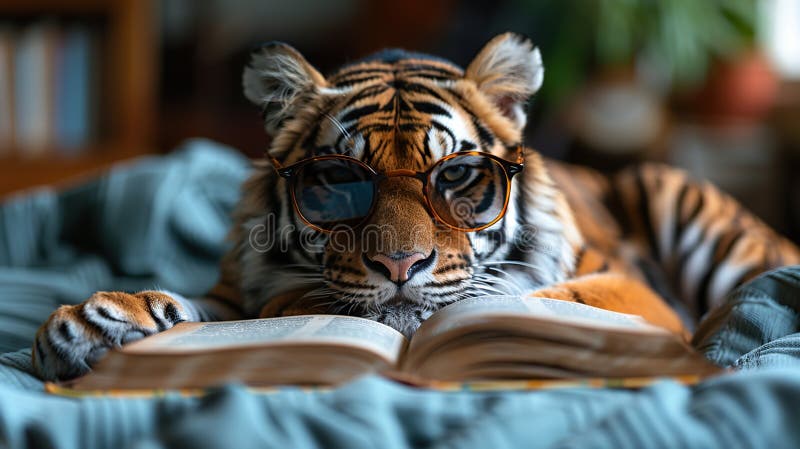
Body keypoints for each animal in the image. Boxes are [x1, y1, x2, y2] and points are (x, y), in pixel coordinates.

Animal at [32, 33, 800, 381]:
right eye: (340, 178)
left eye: (456, 175)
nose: (400, 265)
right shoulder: (230, 289)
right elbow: (203, 306)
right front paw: (96, 323)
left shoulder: (630, 285)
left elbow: (548, 297)